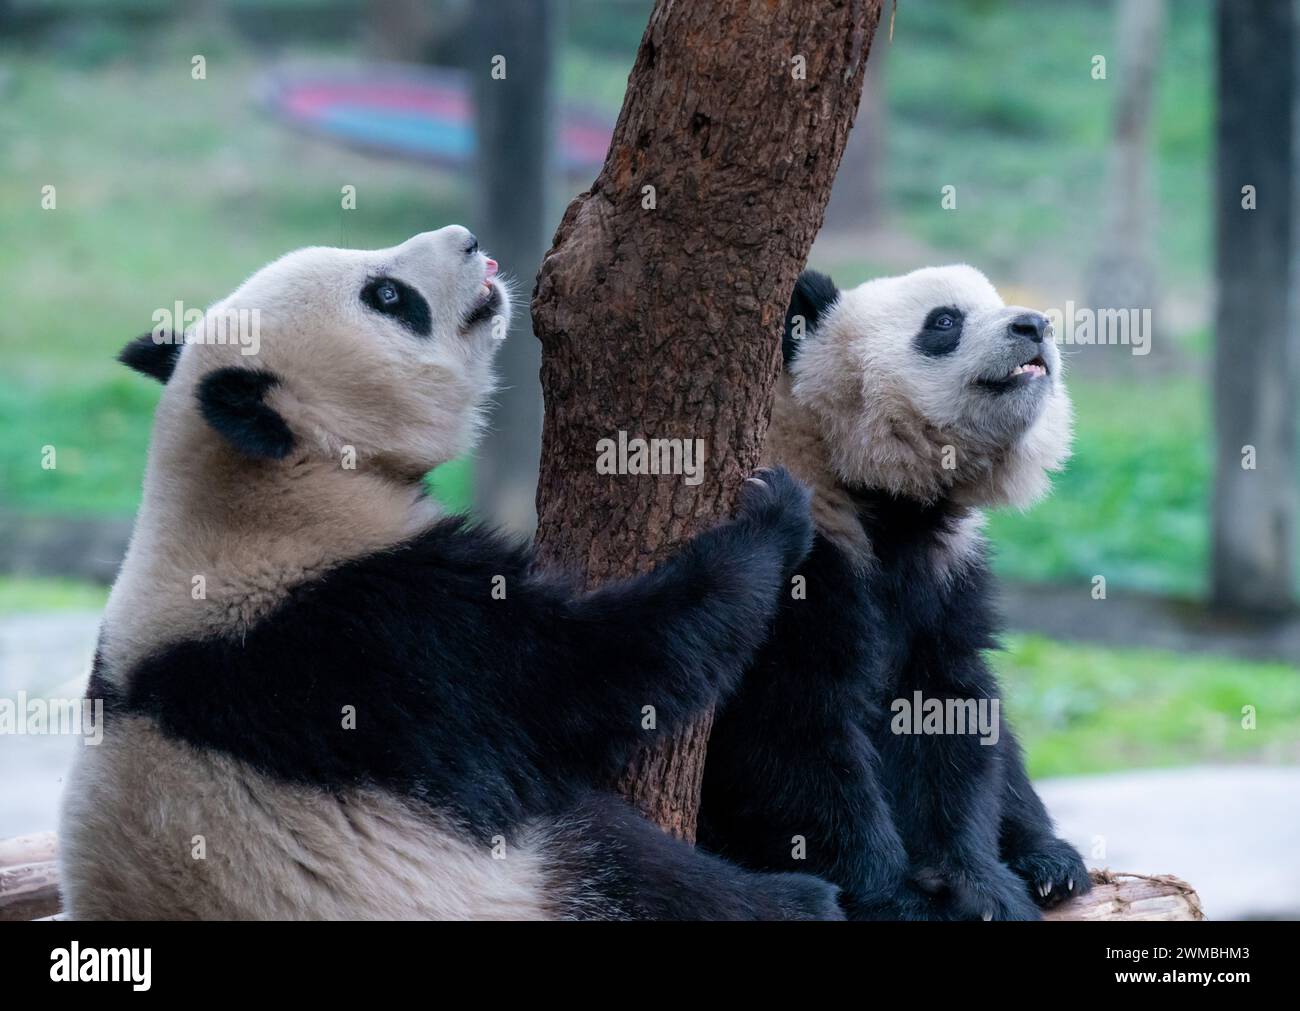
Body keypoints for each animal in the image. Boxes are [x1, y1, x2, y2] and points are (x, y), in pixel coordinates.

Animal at [58, 226, 844, 921]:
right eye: (387, 295)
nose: (468, 241)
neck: (259, 490)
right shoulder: (379, 632)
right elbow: (601, 671)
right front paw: (773, 516)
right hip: (491, 888)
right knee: (622, 868)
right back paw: (795, 901)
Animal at [698, 265, 1090, 920]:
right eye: (945, 320)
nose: (1033, 324)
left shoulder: (946, 571)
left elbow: (944, 708)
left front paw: (978, 884)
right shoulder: (806, 554)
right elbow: (791, 729)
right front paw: (900, 897)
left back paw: (1050, 861)